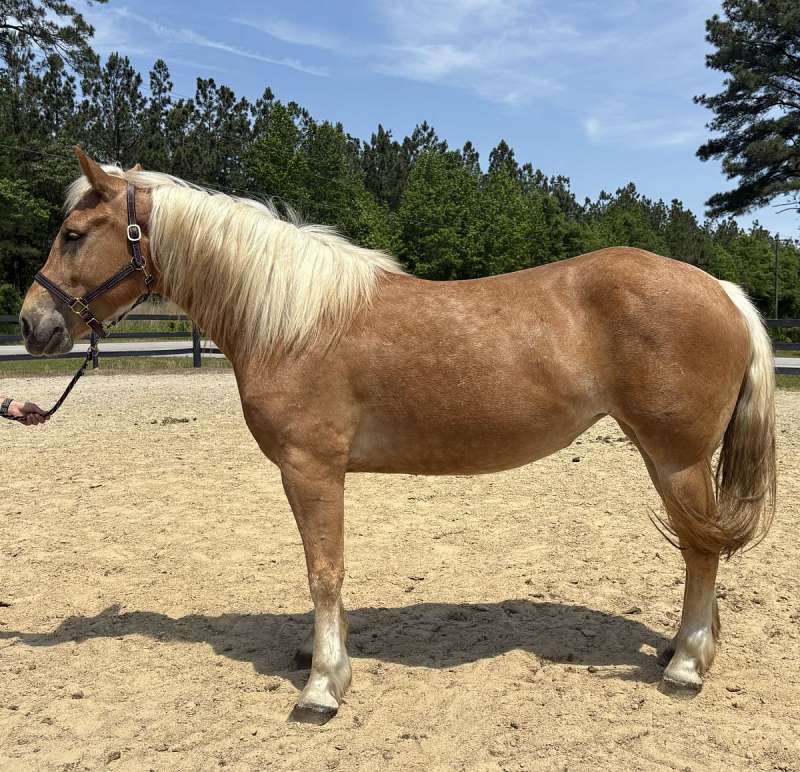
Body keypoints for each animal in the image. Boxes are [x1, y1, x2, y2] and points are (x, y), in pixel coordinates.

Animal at [19, 148, 776, 724]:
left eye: (74, 233)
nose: (32, 324)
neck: (293, 321)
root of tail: (722, 289)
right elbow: (327, 569)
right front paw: (325, 657)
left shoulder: (310, 467)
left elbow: (323, 570)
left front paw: (322, 687)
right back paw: (680, 649)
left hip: (676, 458)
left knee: (702, 552)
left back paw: (685, 665)